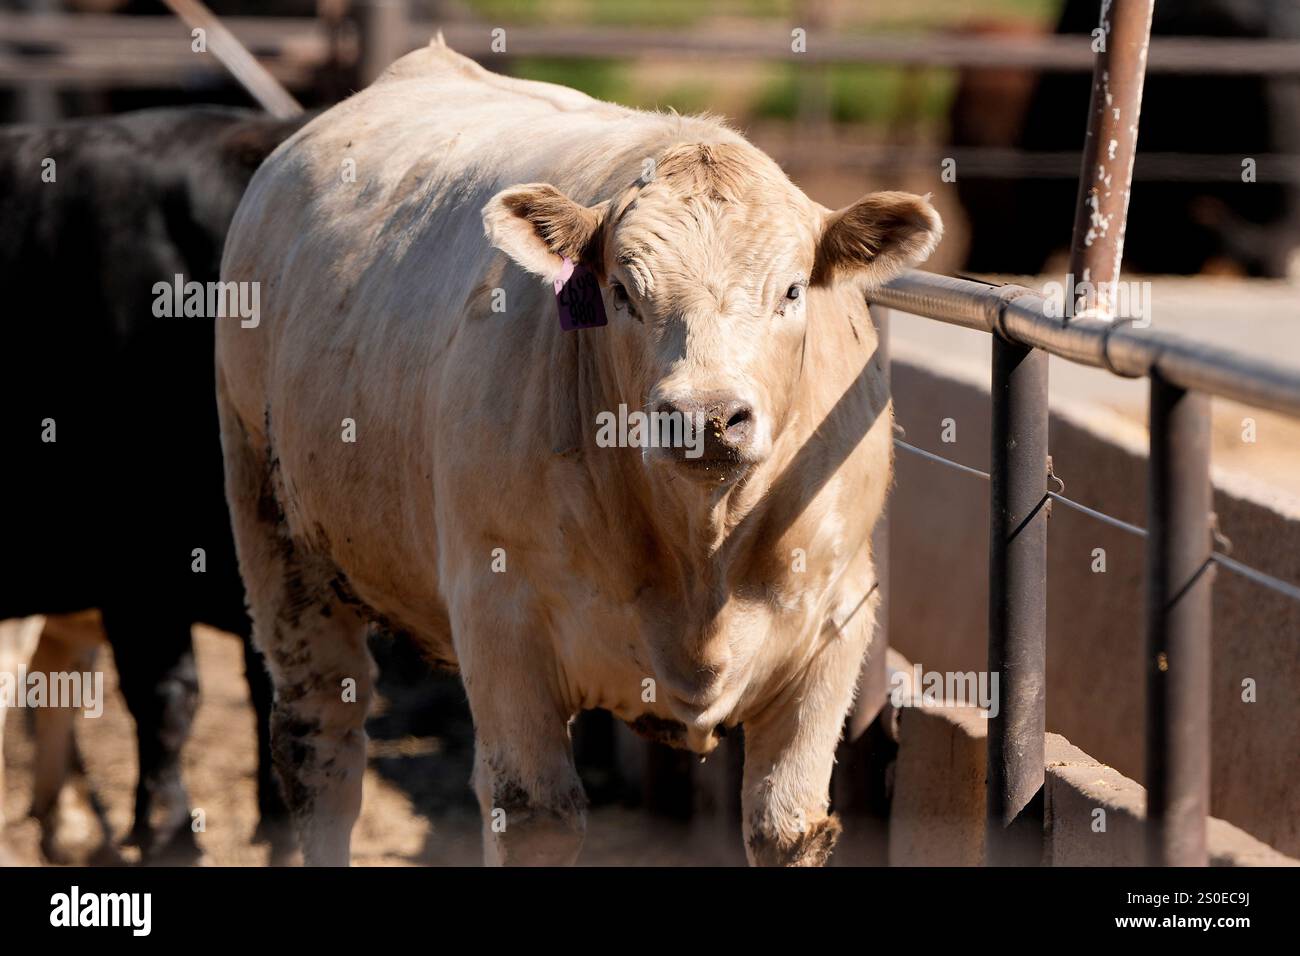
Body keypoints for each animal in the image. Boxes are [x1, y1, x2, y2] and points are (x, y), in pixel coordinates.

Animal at [216, 39, 940, 866]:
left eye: (792, 291)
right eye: (623, 292)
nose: (705, 418)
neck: (699, 549)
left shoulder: (832, 628)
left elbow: (786, 824)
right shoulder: (499, 619)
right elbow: (536, 812)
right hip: (272, 527)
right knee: (319, 743)